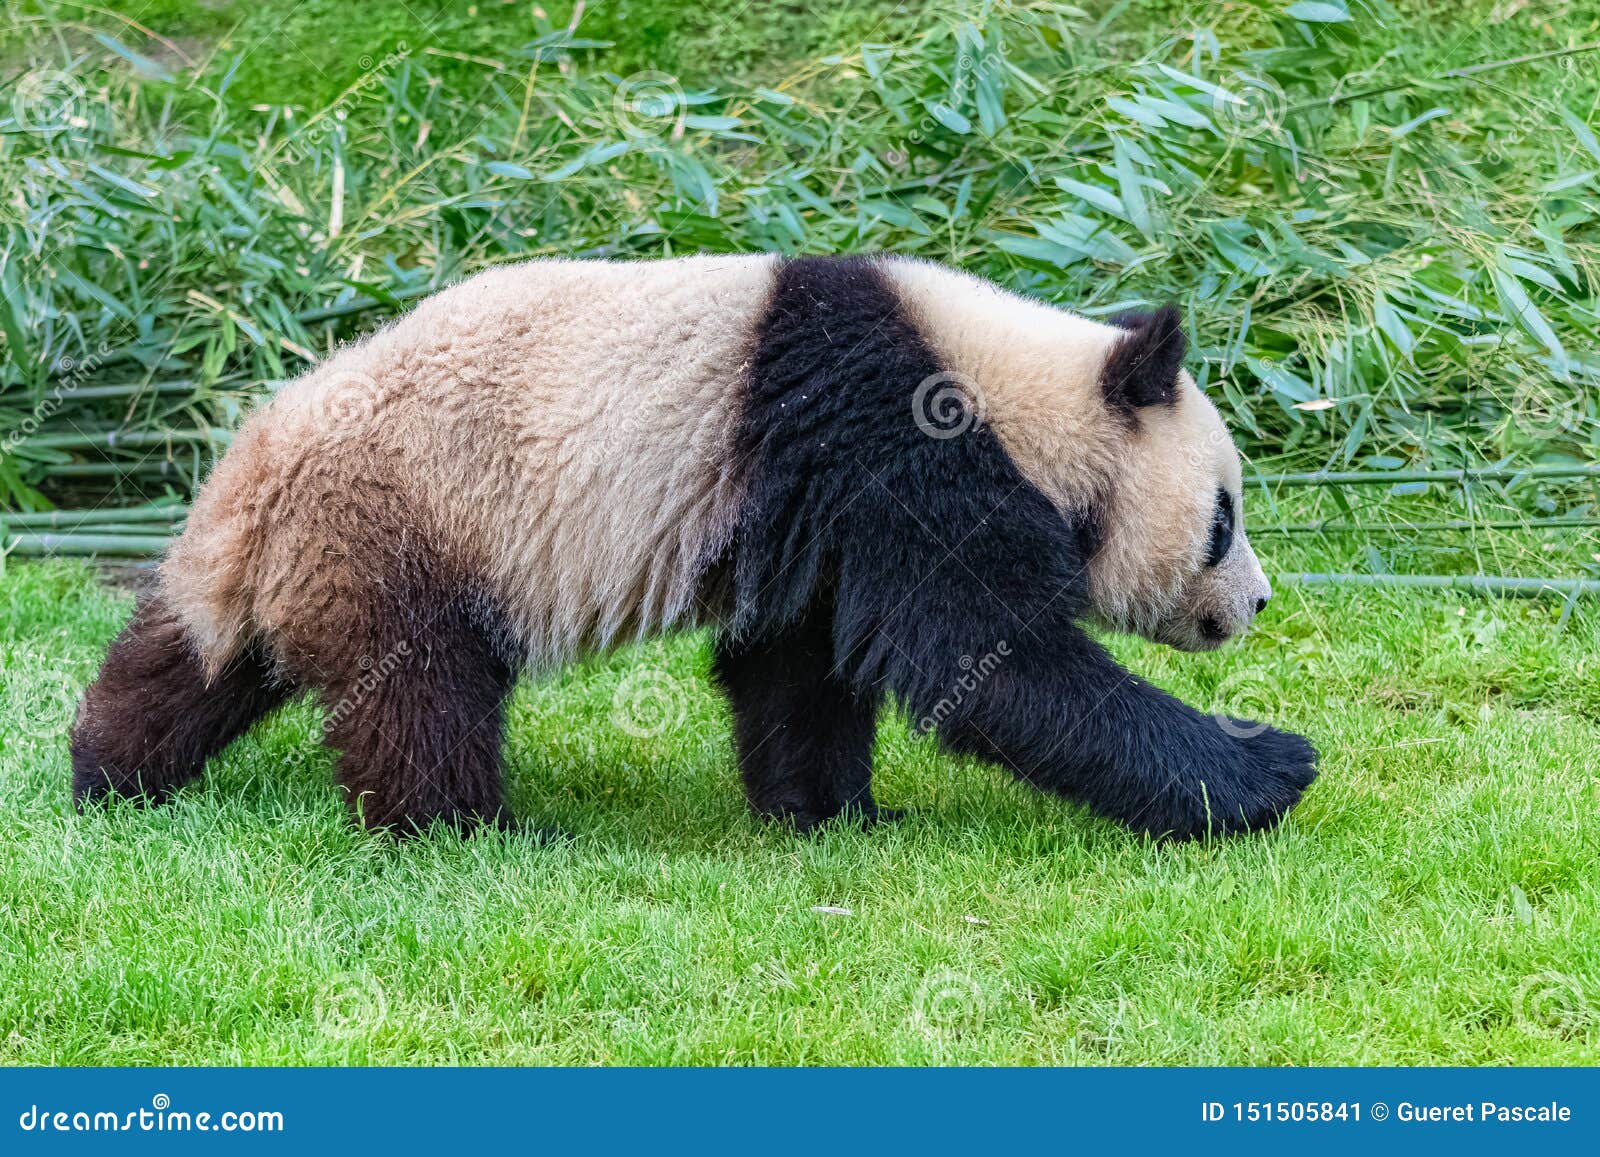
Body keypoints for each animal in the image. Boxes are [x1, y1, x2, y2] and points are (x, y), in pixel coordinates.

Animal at [70, 254, 1317, 840]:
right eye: (1223, 515)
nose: (1256, 604)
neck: (1014, 391)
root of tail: (253, 475)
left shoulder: (819, 502)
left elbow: (800, 661)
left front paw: (829, 809)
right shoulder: (900, 440)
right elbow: (987, 662)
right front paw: (1268, 766)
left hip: (284, 559)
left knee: (194, 662)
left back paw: (109, 773)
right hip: (409, 523)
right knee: (421, 694)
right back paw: (479, 830)